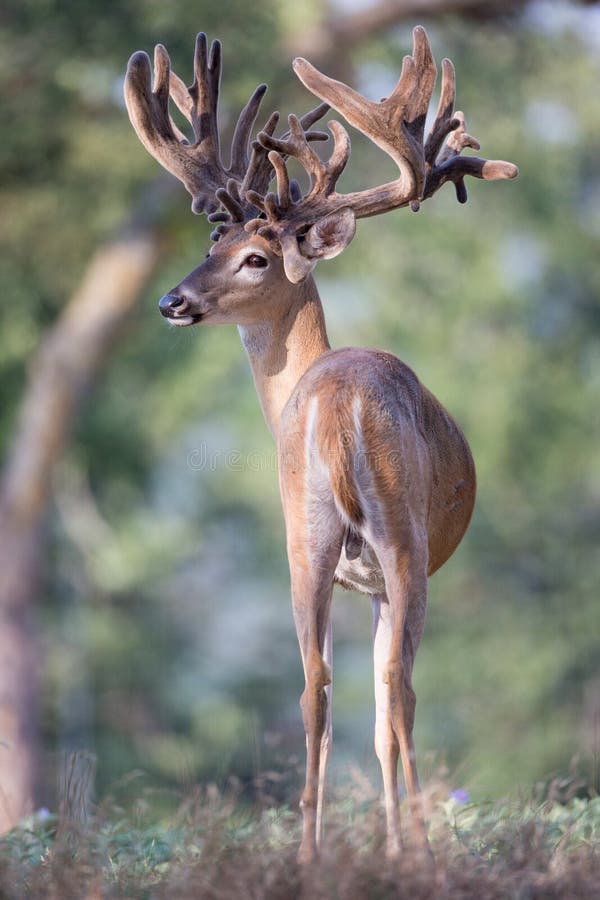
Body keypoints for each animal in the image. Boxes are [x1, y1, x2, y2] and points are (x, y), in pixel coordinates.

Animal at [124, 27, 517, 863]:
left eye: (253, 256)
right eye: (215, 241)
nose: (172, 301)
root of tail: (338, 403)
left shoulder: (349, 576)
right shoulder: (373, 578)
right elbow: (382, 710)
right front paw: (397, 841)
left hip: (309, 536)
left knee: (318, 688)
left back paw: (315, 852)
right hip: (395, 534)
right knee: (392, 690)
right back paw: (414, 851)